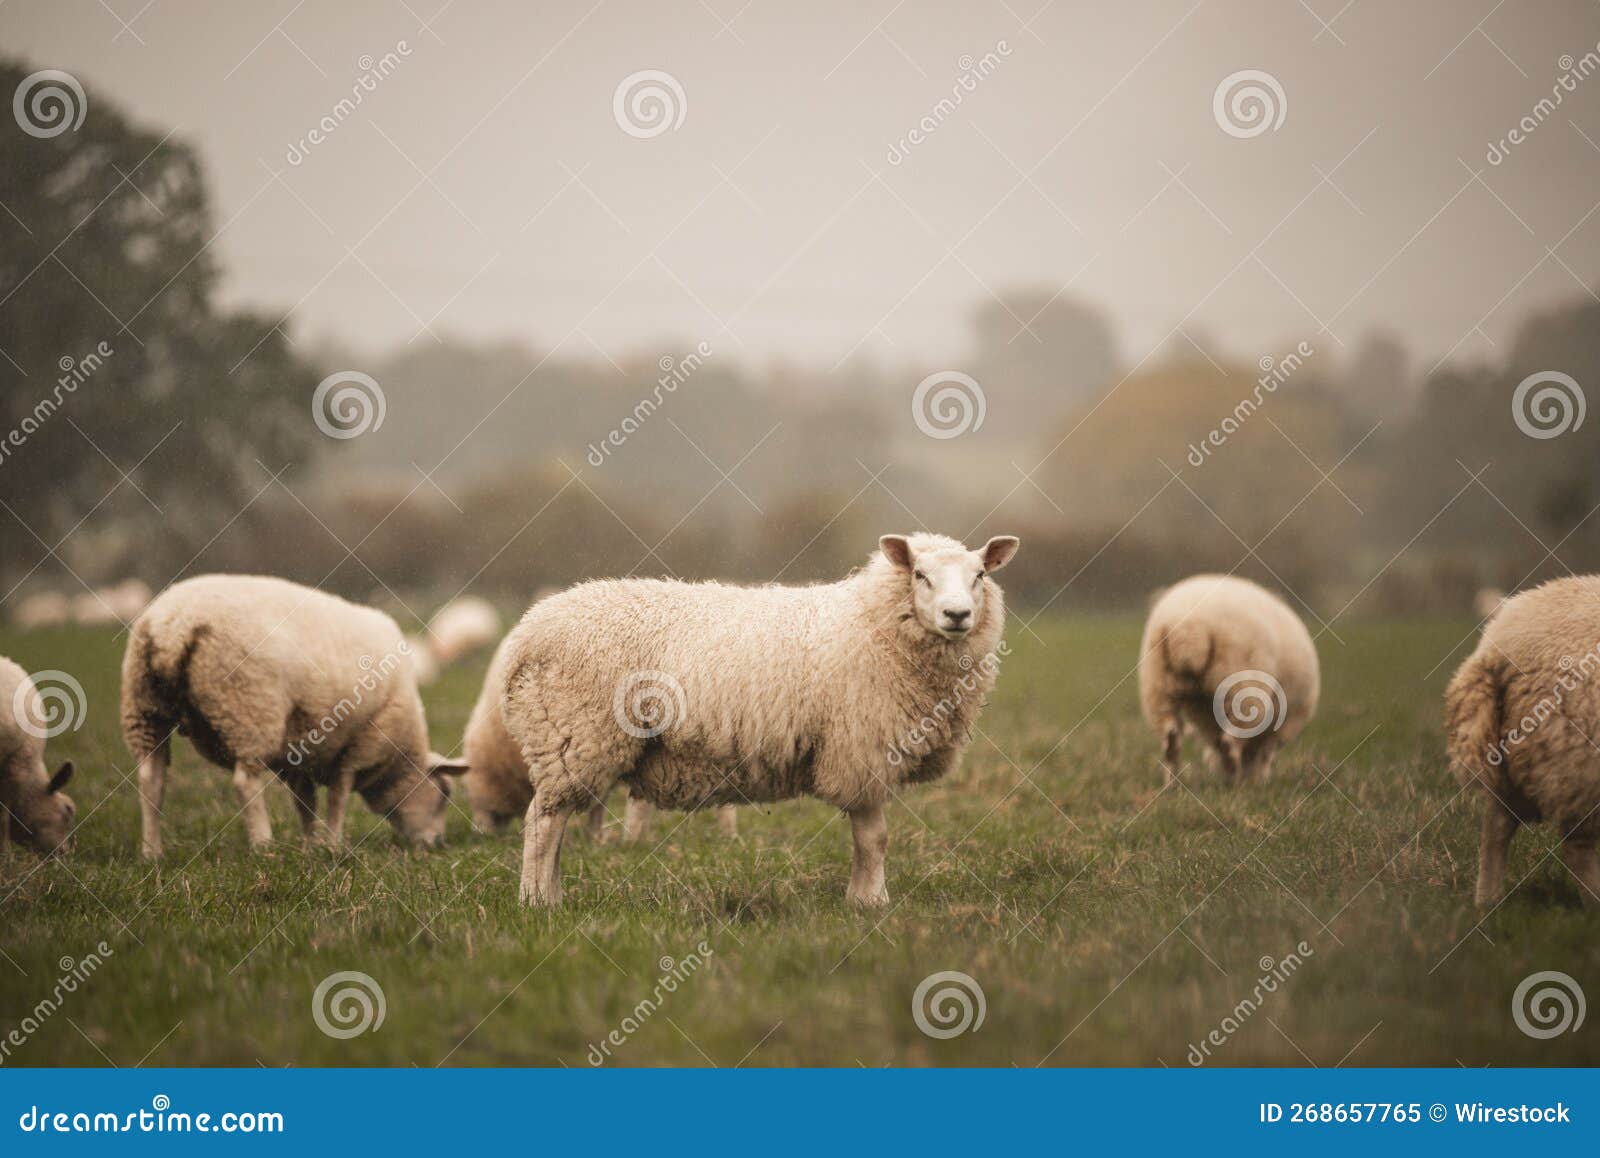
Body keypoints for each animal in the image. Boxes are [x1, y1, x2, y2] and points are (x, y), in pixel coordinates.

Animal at [120, 574, 468, 859]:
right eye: (444, 792)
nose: (438, 843)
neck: (399, 755)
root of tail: (173, 626)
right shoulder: (358, 745)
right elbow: (338, 798)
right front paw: (332, 844)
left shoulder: (298, 753)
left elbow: (305, 801)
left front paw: (310, 847)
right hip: (249, 708)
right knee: (245, 783)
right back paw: (264, 846)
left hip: (143, 708)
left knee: (151, 779)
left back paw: (152, 852)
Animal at [501, 531, 1020, 906]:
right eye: (919, 575)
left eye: (979, 574)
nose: (958, 614)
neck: (876, 622)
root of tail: (525, 634)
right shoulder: (861, 745)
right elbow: (874, 838)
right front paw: (870, 902)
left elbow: (869, 839)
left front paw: (860, 898)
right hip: (574, 734)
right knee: (543, 822)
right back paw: (536, 903)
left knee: (553, 822)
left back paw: (553, 895)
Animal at [1139, 574, 1320, 785]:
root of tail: (1188, 629)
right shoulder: (1287, 723)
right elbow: (1266, 752)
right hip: (1240, 687)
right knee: (1230, 741)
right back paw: (1235, 778)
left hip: (1157, 688)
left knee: (1171, 741)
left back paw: (1173, 784)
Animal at [1445, 575, 1600, 907]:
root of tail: (1494, 649)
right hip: (1578, 761)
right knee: (1577, 846)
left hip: (1517, 761)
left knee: (1495, 828)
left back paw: (1487, 902)